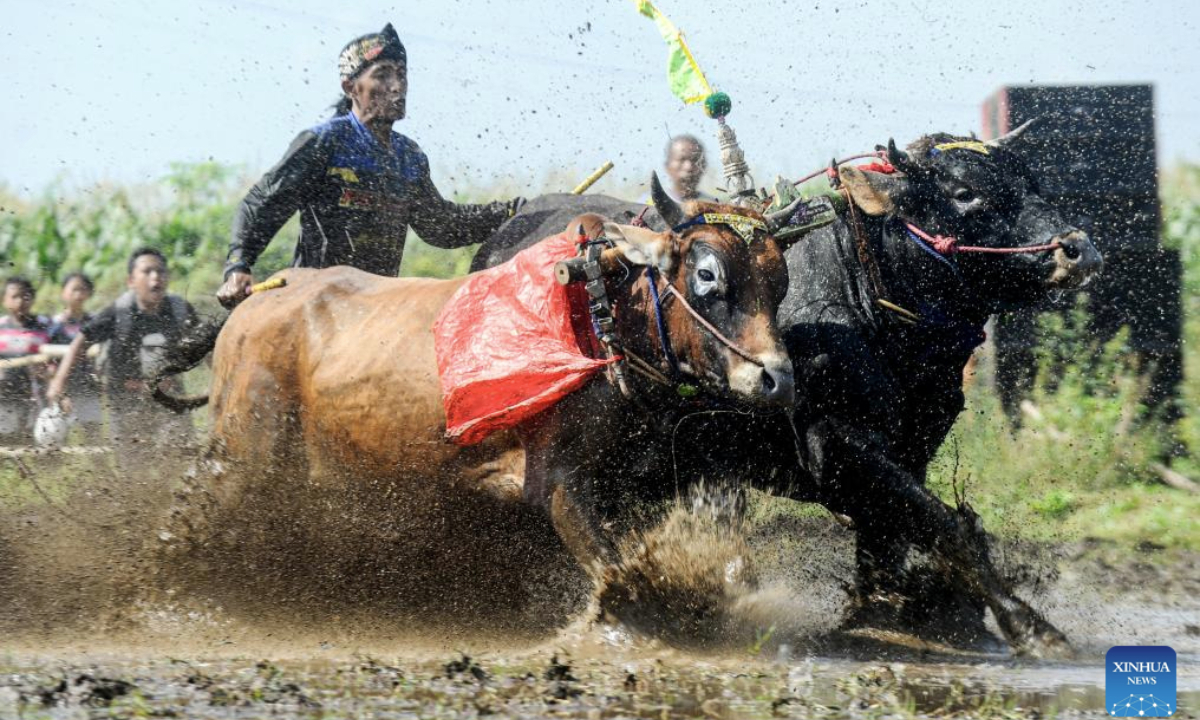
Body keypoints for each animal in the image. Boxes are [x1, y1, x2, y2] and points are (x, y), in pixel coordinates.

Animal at [474, 123, 1102, 657]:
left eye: (1032, 180)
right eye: (966, 192)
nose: (1080, 249)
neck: (869, 299)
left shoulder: (910, 450)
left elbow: (893, 536)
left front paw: (891, 612)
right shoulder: (838, 447)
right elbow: (944, 524)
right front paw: (1029, 625)